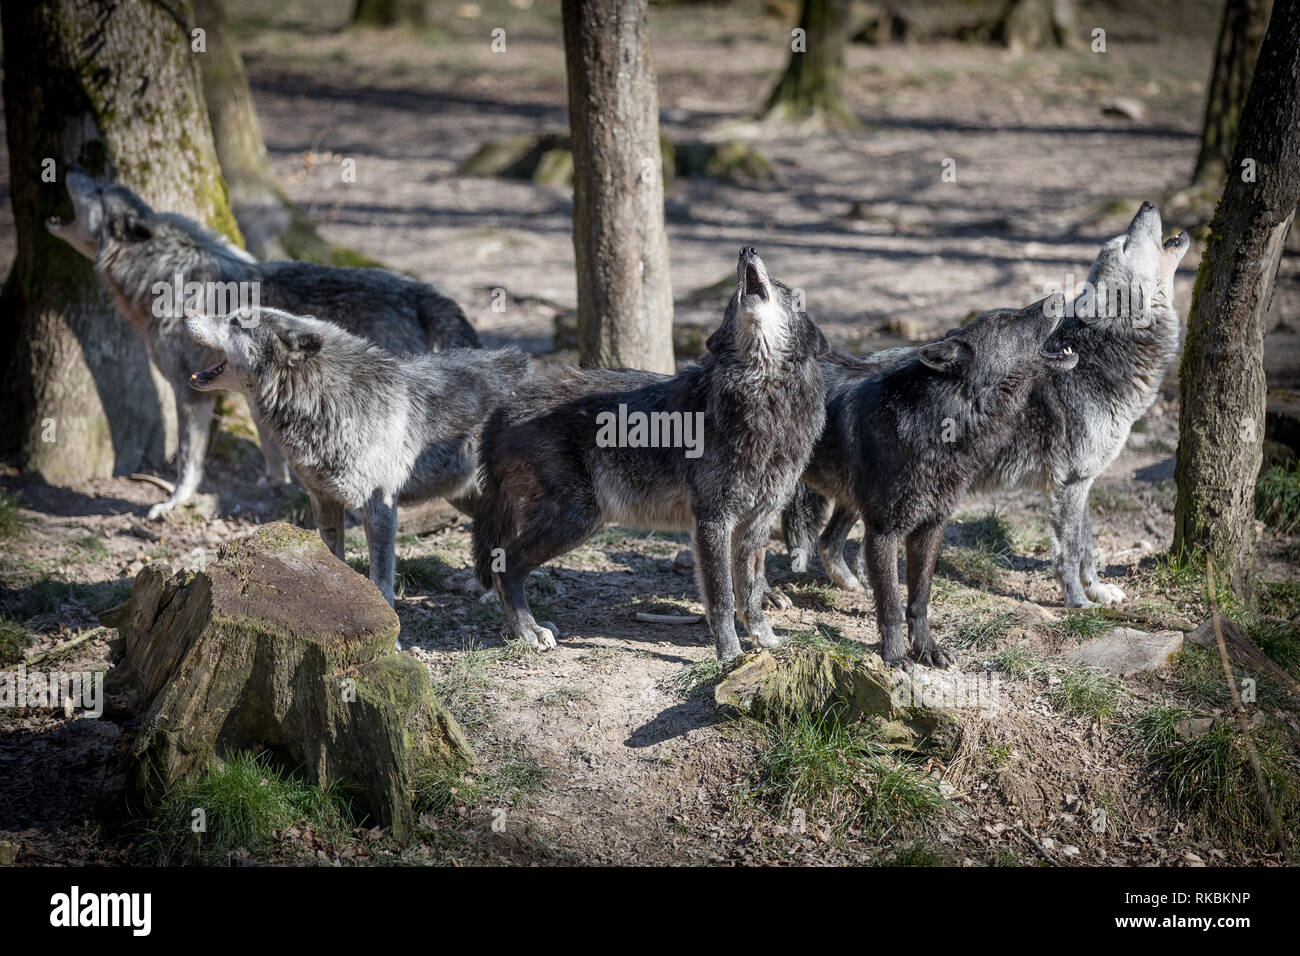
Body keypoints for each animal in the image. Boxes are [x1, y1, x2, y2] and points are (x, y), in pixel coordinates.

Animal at [46, 167, 479, 518]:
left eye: (98, 189)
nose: (71, 165)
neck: (162, 275)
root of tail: (420, 291)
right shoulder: (253, 394)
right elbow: (271, 450)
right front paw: (279, 488)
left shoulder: (191, 394)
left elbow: (187, 462)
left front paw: (173, 504)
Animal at [183, 306, 529, 606]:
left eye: (236, 322)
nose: (185, 312)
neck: (322, 400)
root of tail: (527, 365)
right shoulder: (323, 499)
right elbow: (333, 557)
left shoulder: (381, 507)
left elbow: (381, 579)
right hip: (462, 495)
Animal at [472, 248, 828, 660]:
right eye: (729, 302)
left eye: (784, 288)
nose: (746, 250)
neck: (762, 396)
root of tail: (502, 410)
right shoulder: (712, 521)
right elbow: (722, 598)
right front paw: (729, 655)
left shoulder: (756, 524)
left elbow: (751, 592)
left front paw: (766, 640)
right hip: (577, 518)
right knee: (505, 566)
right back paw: (529, 632)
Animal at [786, 202, 1190, 609]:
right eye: (1124, 244)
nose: (1146, 205)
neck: (1101, 356)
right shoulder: (1070, 484)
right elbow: (1069, 553)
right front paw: (1079, 605)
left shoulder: (1083, 483)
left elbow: (1087, 549)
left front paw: (1098, 591)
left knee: (829, 541)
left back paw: (856, 587)